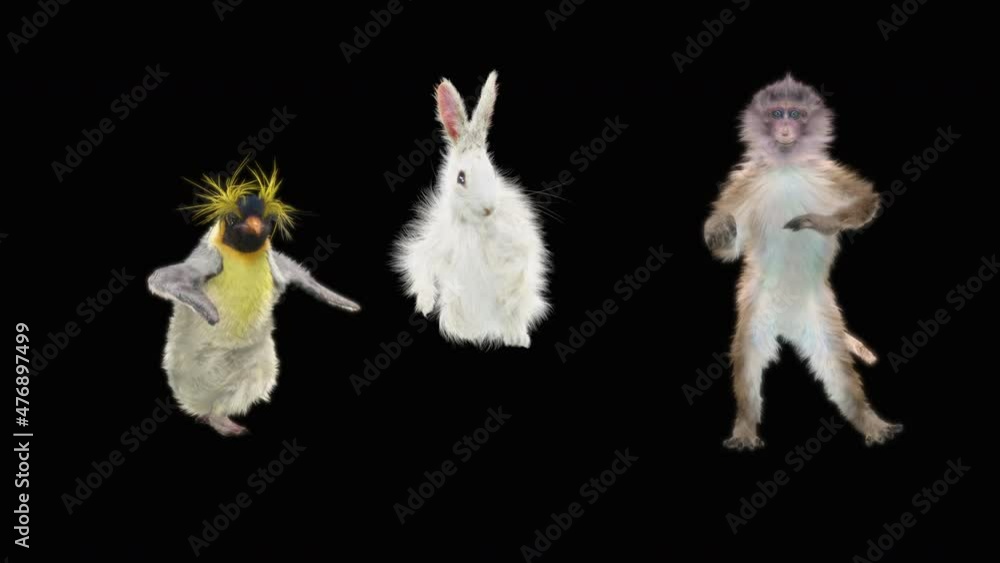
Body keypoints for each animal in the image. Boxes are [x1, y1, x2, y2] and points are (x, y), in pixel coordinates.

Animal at [394, 71, 550, 349]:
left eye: (493, 172)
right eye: (461, 178)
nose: (489, 208)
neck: (475, 226)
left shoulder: (516, 255)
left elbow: (512, 291)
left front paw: (514, 333)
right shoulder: (432, 246)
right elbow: (420, 265)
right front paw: (425, 304)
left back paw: (514, 337)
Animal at [704, 74, 901, 450]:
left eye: (795, 114)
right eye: (777, 113)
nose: (785, 127)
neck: (786, 166)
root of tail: (788, 324)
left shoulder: (828, 173)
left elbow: (867, 202)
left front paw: (821, 223)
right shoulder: (744, 181)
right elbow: (728, 245)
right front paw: (720, 231)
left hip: (821, 314)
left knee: (835, 364)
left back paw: (866, 419)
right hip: (757, 307)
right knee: (749, 354)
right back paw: (746, 424)